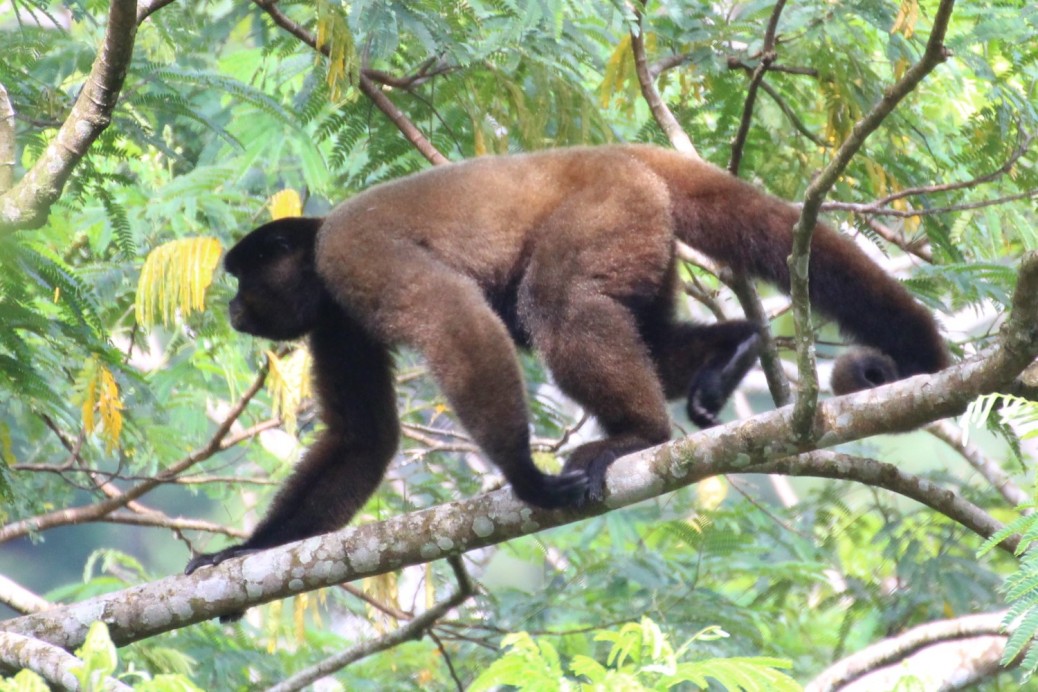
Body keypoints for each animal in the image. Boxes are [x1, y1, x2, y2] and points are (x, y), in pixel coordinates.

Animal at [184, 144, 948, 577]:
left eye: (243, 278)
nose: (231, 308)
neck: (316, 257)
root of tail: (612, 151)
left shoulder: (354, 258)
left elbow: (455, 321)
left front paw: (524, 477)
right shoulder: (338, 319)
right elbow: (364, 438)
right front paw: (251, 552)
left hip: (607, 207)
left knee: (553, 304)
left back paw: (640, 434)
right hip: (644, 231)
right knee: (625, 323)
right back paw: (730, 346)